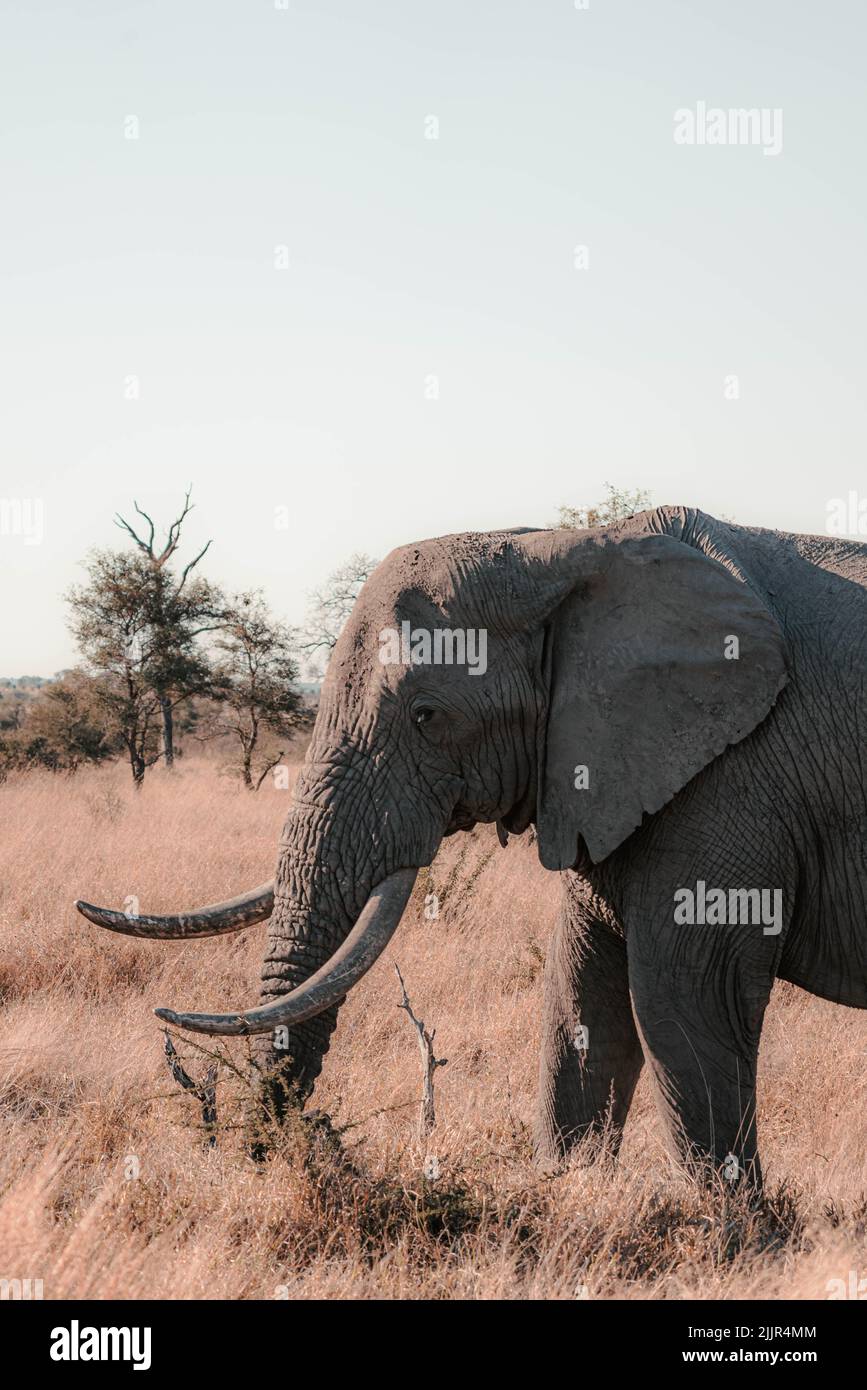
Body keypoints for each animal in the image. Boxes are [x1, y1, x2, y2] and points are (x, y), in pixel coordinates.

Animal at [76, 506, 867, 1187]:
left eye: (428, 716)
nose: (273, 1154)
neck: (566, 551)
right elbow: (581, 1003)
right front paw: (568, 1190)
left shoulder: (736, 775)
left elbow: (685, 1000)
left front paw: (738, 1234)